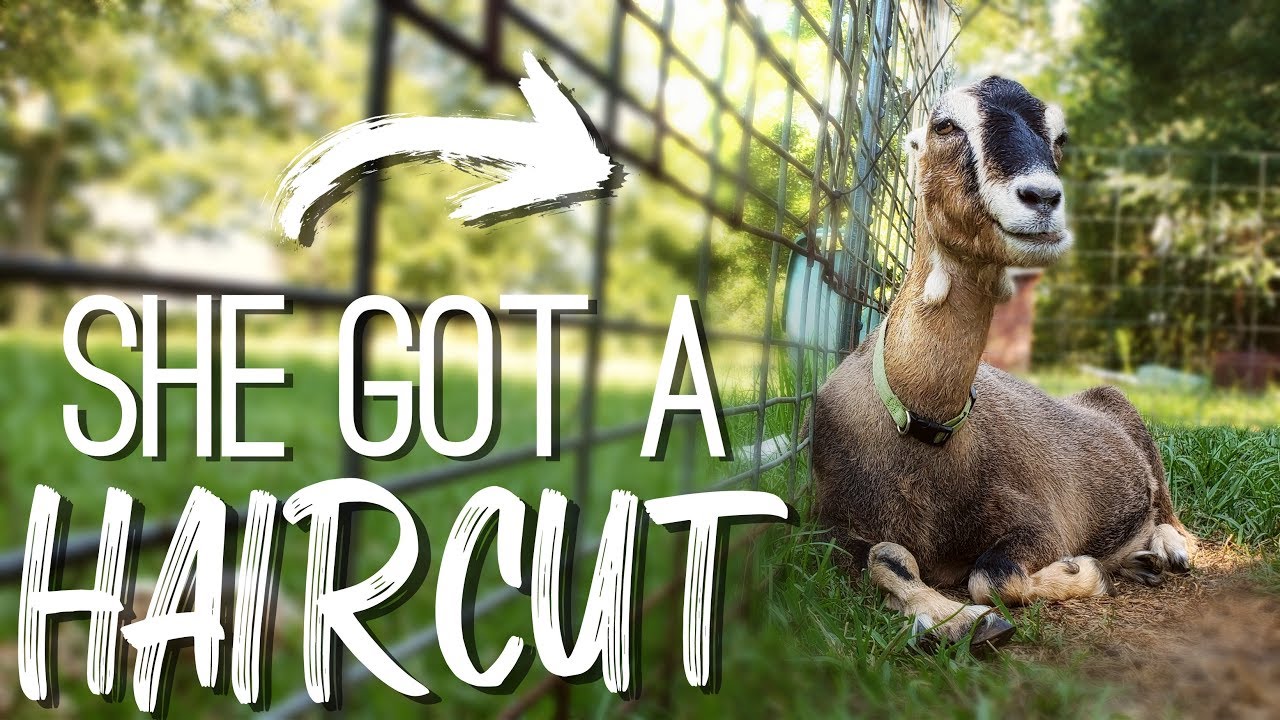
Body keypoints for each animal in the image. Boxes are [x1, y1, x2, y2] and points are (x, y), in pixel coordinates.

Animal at [810, 77, 1196, 648]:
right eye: (945, 124)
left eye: (1060, 137)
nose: (1043, 198)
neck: (920, 420)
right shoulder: (831, 527)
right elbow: (886, 555)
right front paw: (951, 618)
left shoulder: (1040, 521)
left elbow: (992, 577)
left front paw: (1078, 573)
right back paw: (1141, 560)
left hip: (1137, 432)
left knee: (1166, 503)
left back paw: (1168, 549)